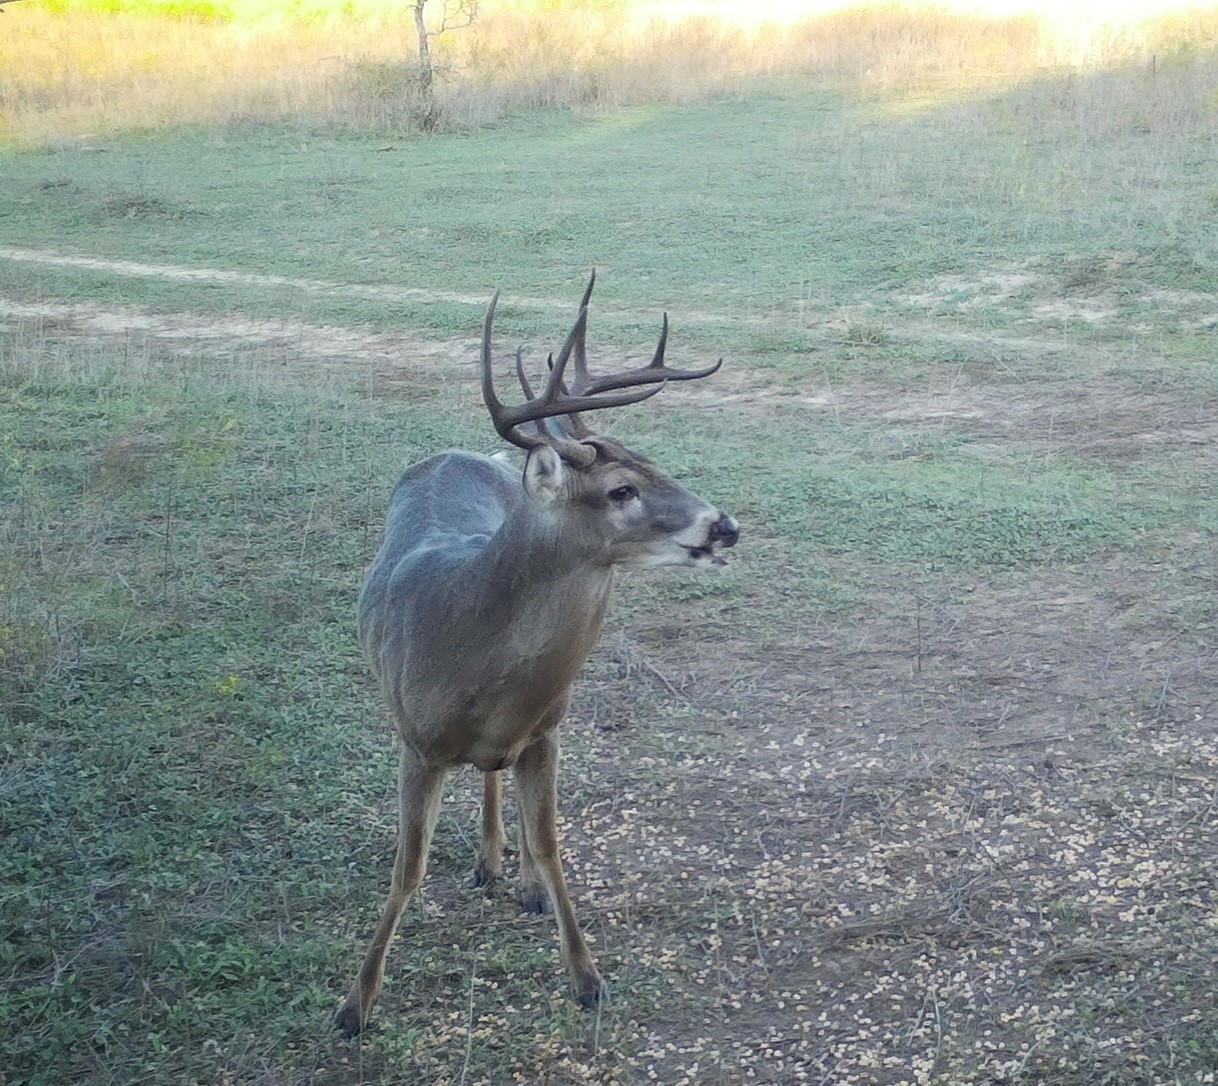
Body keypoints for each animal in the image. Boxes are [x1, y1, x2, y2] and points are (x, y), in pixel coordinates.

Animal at [335, 273, 739, 1037]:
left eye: (657, 464)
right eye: (620, 489)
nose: (724, 525)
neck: (467, 650)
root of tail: (459, 454)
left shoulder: (548, 729)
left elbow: (551, 845)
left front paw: (586, 976)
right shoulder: (416, 740)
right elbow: (408, 868)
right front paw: (355, 1002)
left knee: (497, 778)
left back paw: (508, 871)